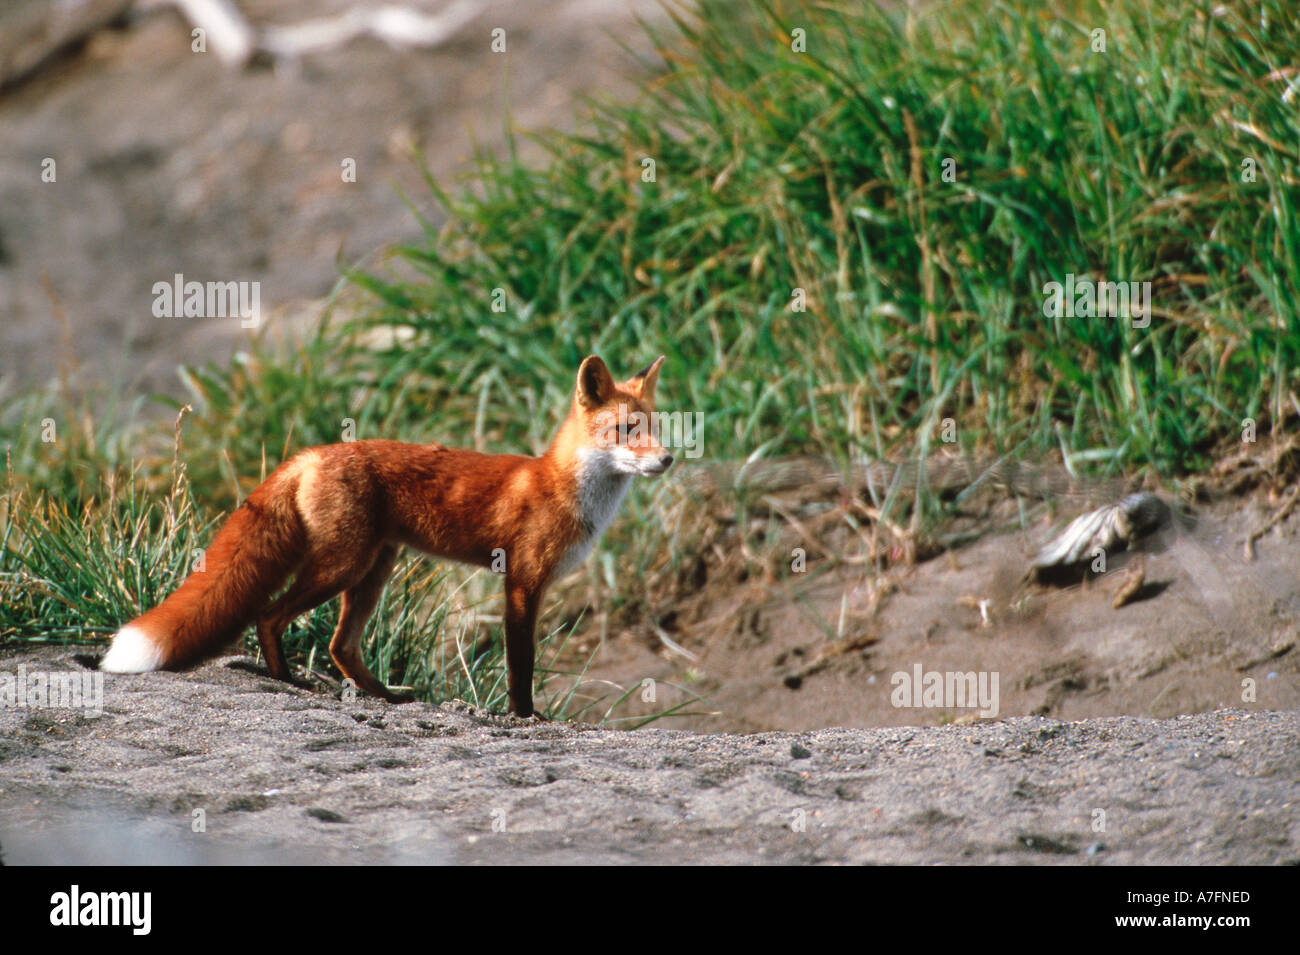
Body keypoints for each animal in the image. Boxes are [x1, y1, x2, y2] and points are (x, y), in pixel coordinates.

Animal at [100, 355, 672, 718]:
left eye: (657, 428)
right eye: (626, 431)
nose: (668, 459)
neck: (563, 487)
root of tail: (311, 453)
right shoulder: (522, 583)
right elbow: (521, 666)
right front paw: (527, 718)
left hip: (374, 569)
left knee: (340, 645)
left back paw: (387, 697)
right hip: (343, 565)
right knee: (270, 614)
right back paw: (285, 679)